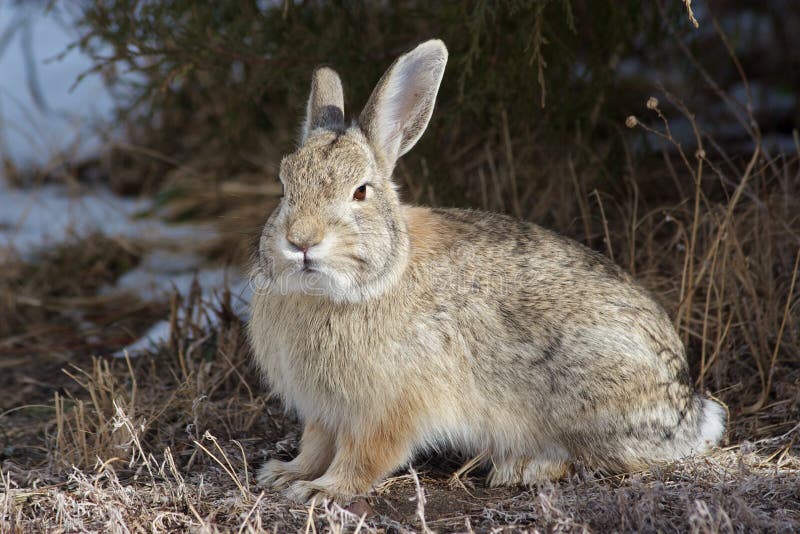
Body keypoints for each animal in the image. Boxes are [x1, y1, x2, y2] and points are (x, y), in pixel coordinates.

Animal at [247, 39, 726, 504]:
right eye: (284, 186)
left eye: (360, 192)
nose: (301, 241)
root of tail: (689, 409)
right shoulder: (324, 411)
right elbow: (315, 444)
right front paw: (286, 474)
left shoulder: (384, 410)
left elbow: (363, 457)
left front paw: (321, 490)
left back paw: (525, 467)